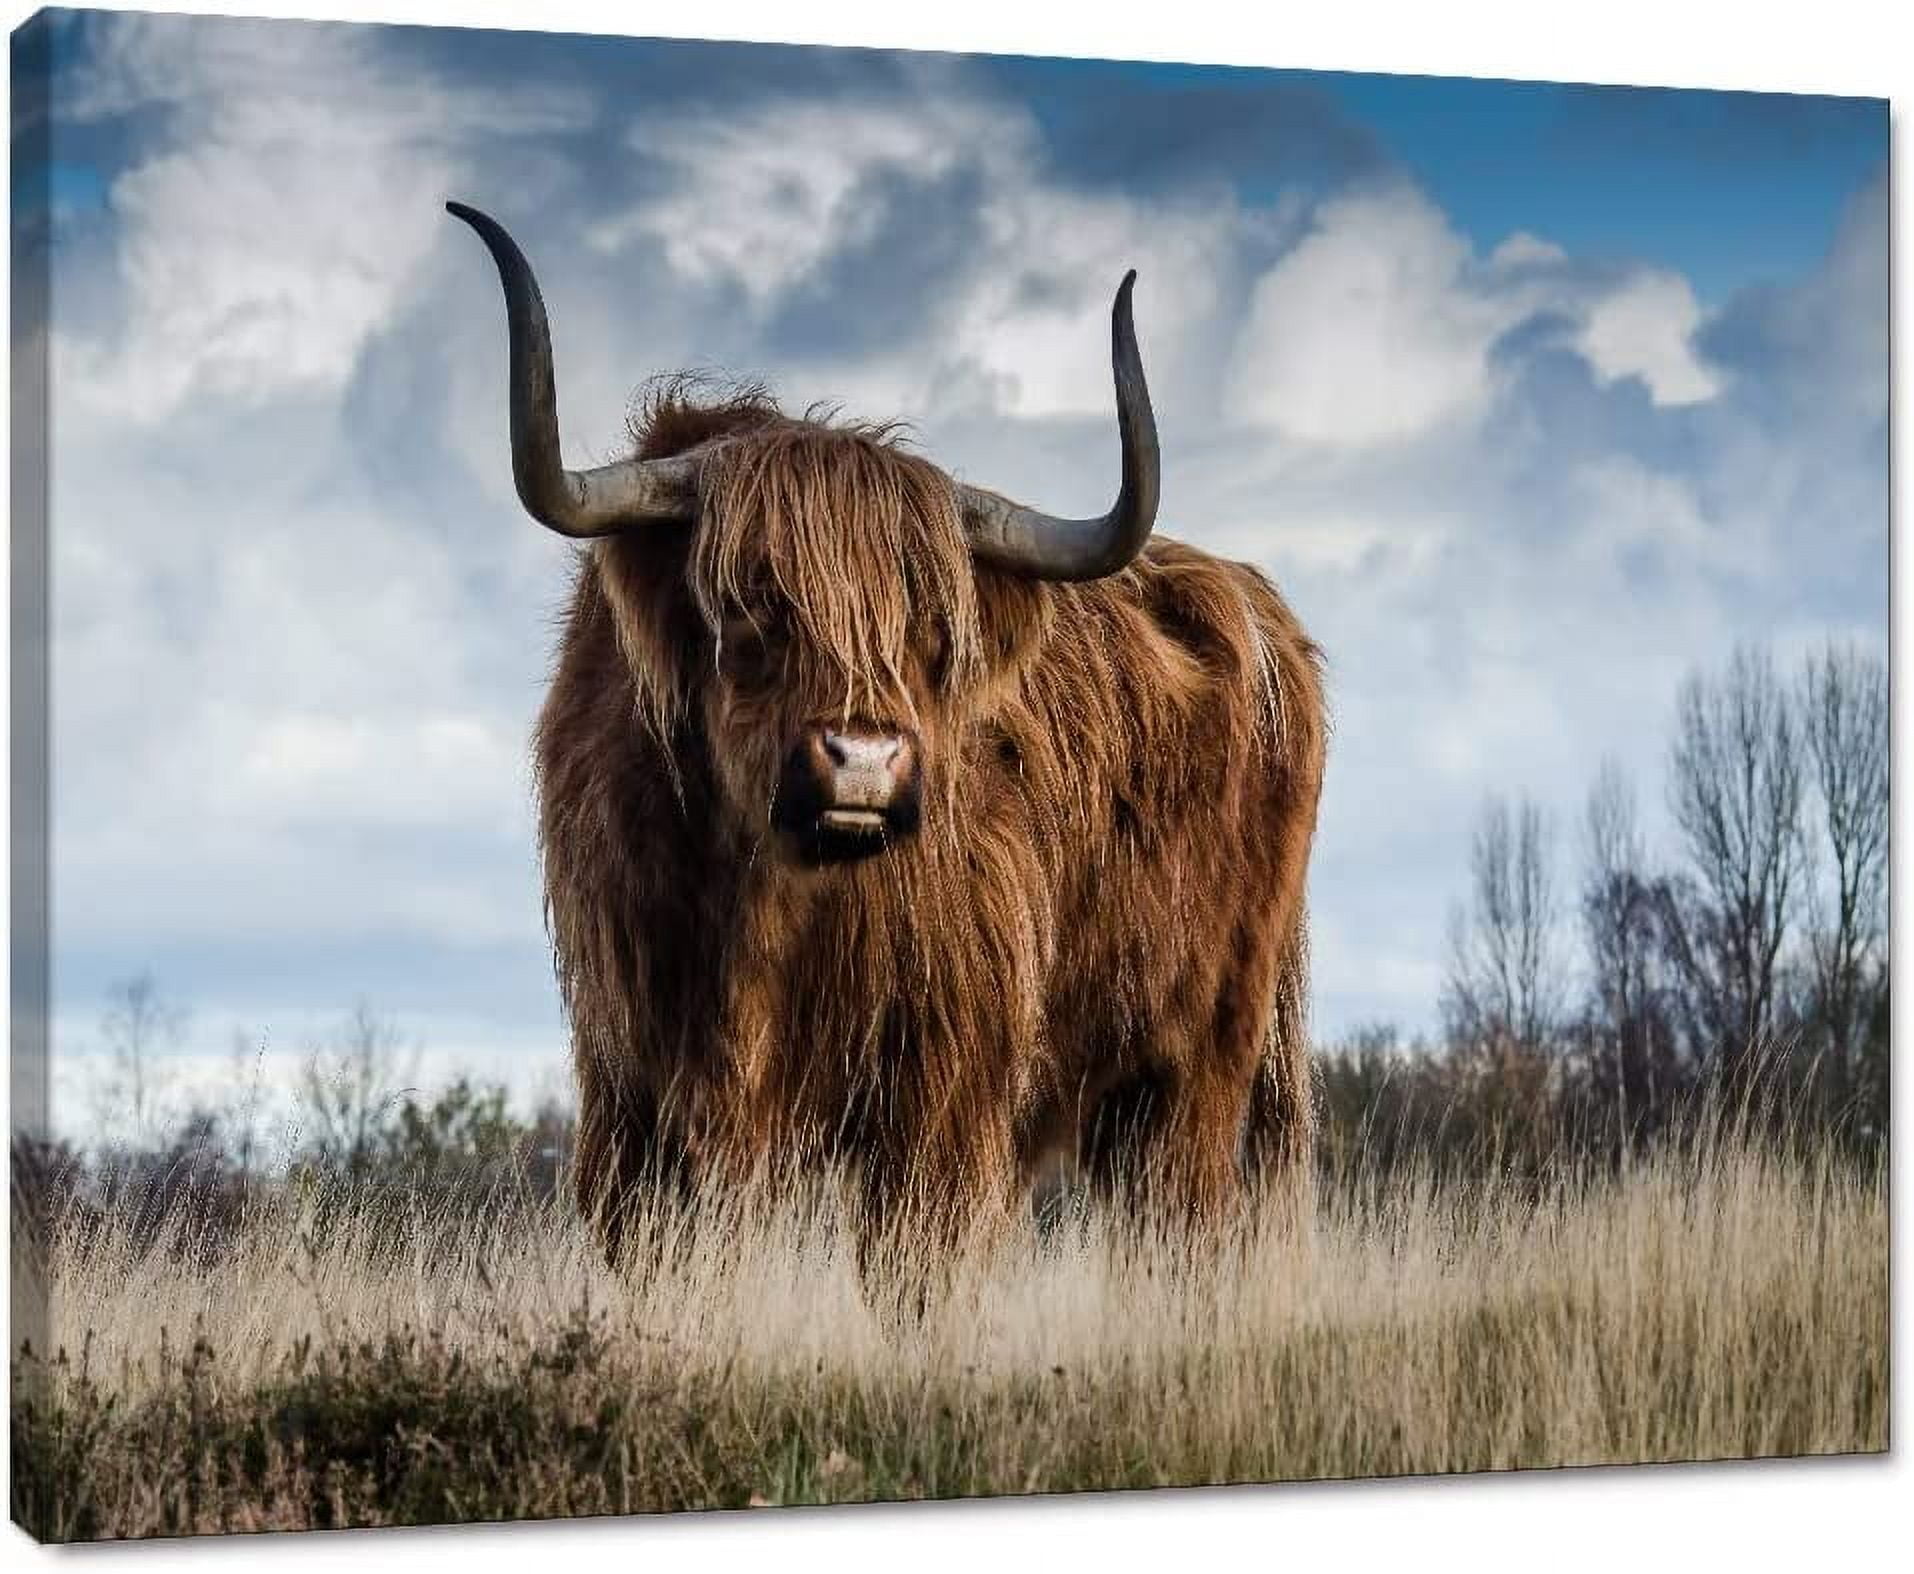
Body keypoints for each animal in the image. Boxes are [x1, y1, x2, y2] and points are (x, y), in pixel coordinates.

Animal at [448, 202, 1327, 1263]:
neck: (765, 908)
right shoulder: (635, 1093)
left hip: (1199, 1065)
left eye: (934, 629)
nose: (862, 764)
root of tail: (1261, 609)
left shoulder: (941, 1092)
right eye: (750, 605)